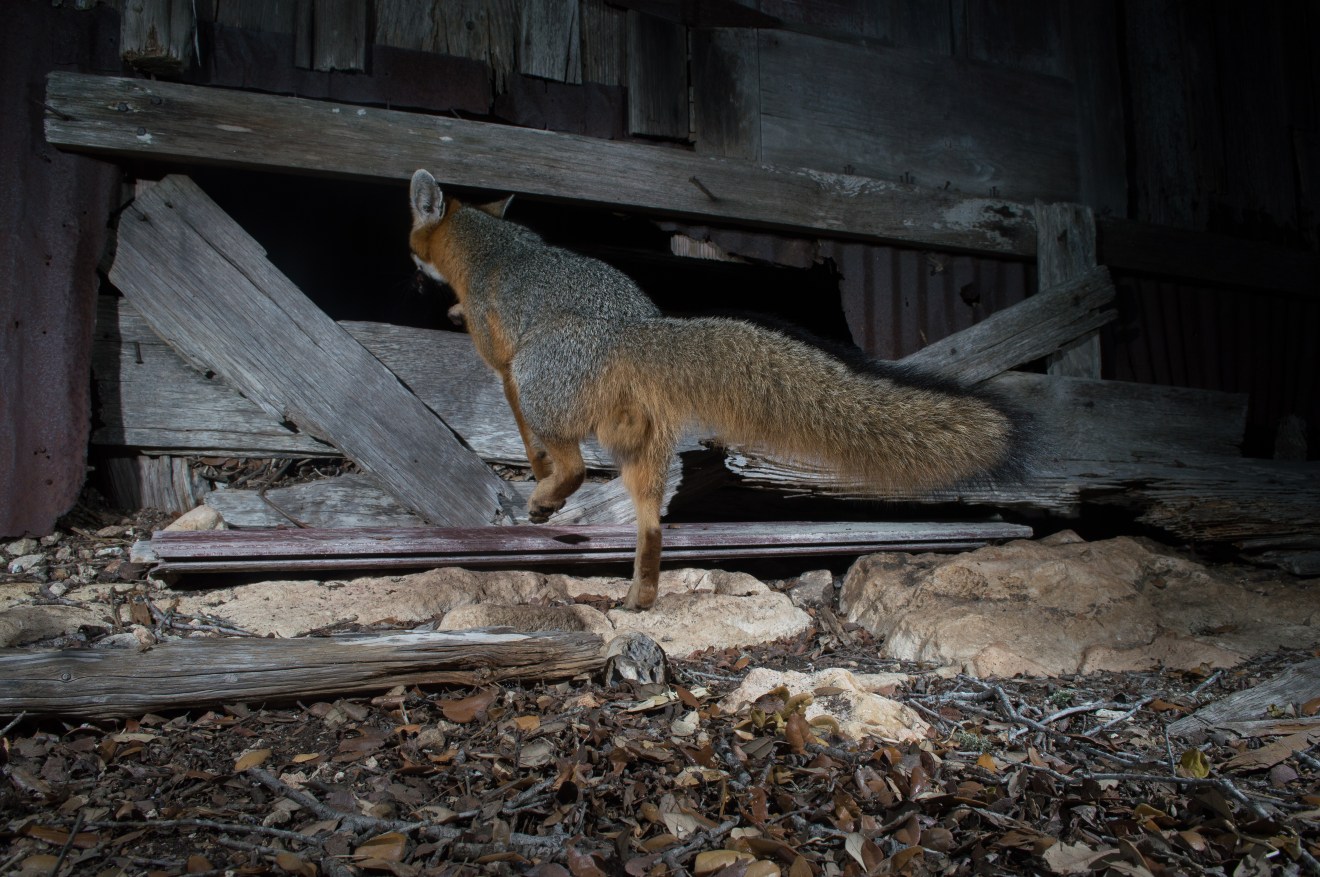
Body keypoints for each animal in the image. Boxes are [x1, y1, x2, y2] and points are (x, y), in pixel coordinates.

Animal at [408, 169, 1029, 611]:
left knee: (578, 468)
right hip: (641, 458)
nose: (413, 270)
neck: (496, 247)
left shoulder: (505, 368)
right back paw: (639, 596)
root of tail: (636, 327)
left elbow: (520, 428)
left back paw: (549, 499)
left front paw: (534, 472)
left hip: (549, 391)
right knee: (652, 526)